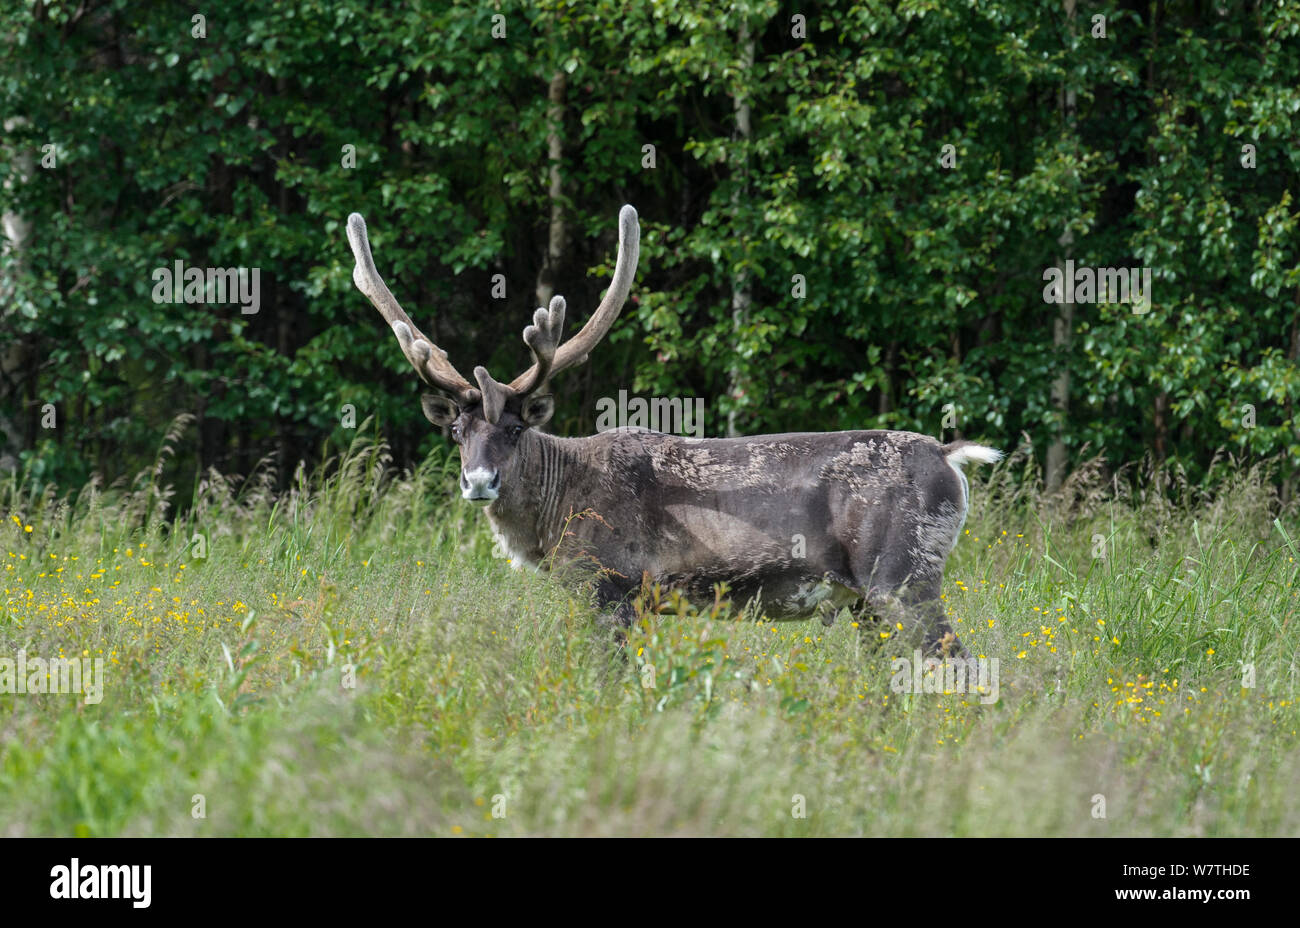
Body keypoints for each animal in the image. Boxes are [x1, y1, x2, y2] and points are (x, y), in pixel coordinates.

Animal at [345, 205, 1002, 655]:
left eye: (512, 430)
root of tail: (951, 457)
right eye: (457, 431)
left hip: (903, 575)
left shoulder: (609, 585)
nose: (479, 481)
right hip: (872, 601)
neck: (557, 511)